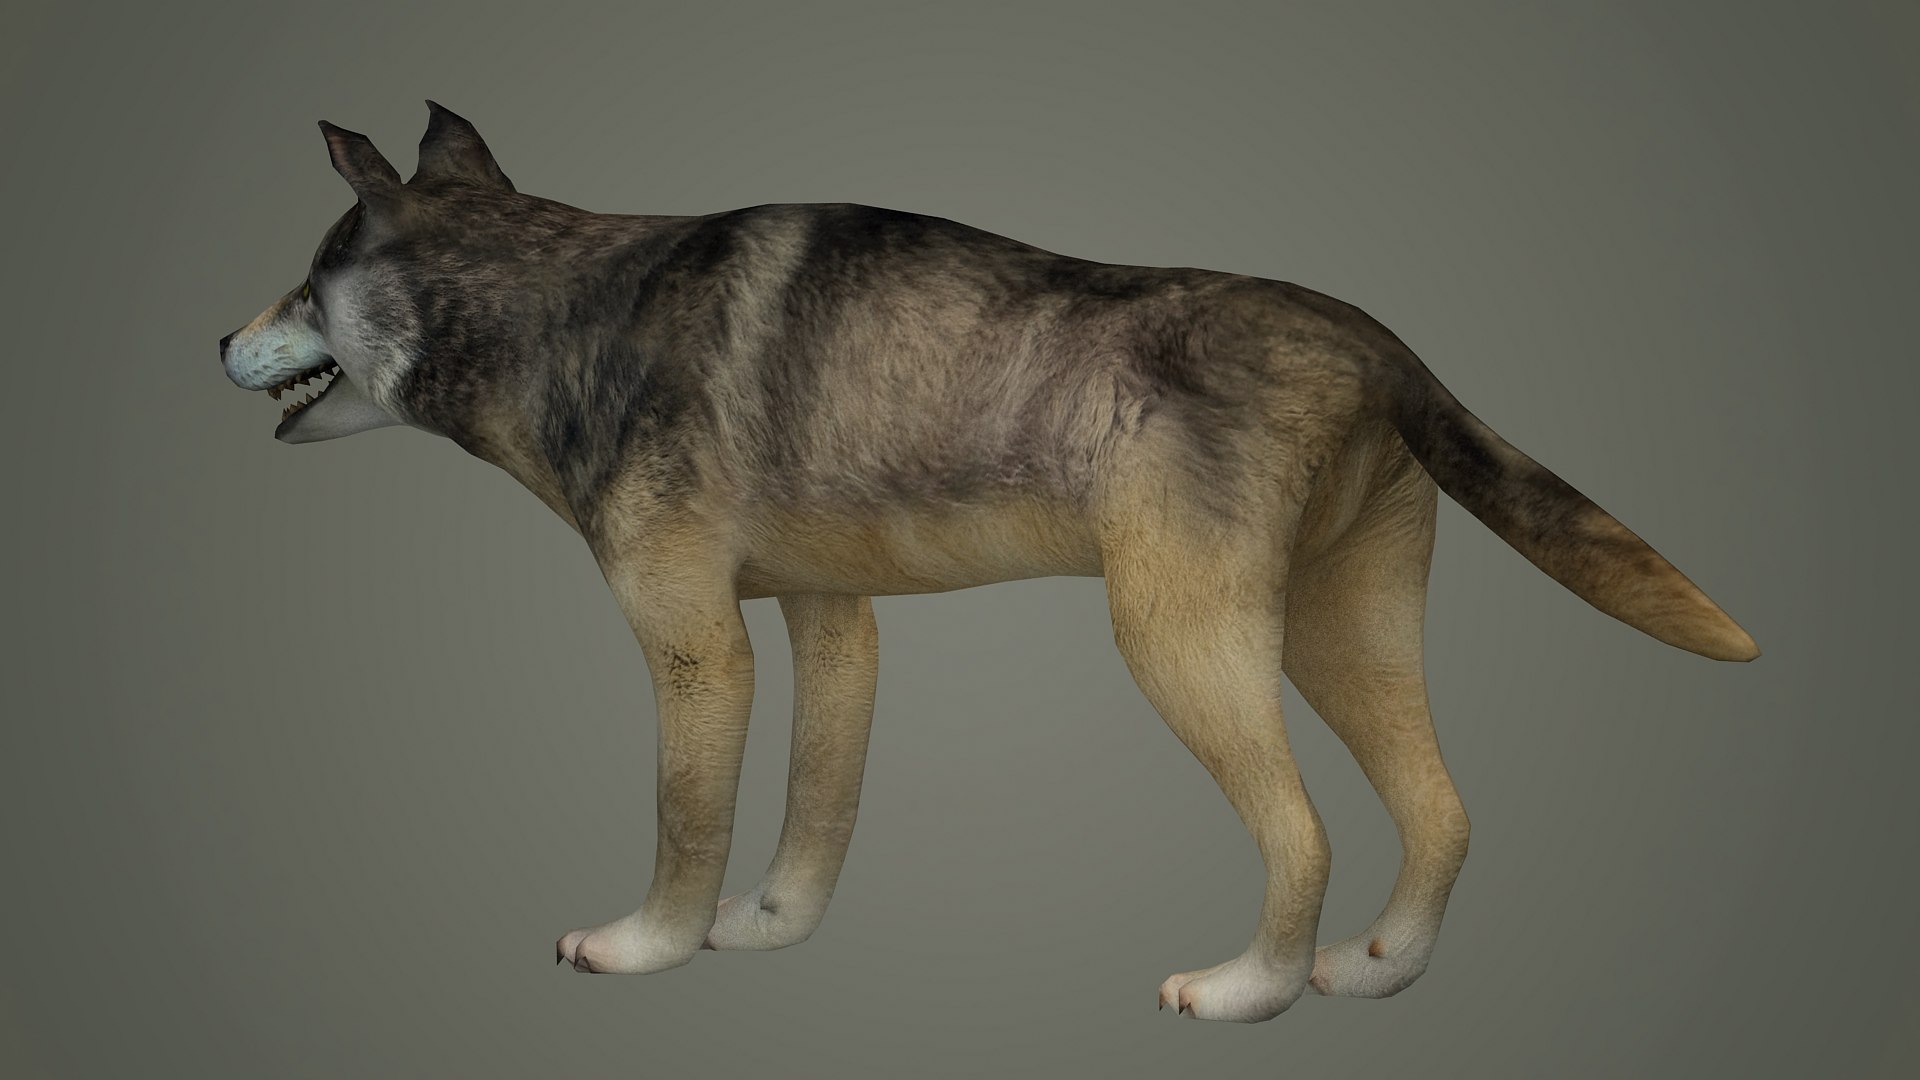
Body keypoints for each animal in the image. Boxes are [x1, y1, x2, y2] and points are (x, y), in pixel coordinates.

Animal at [217, 102, 1759, 1023]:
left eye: (303, 282)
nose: (216, 340)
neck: (560, 301)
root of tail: (1381, 340)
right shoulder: (832, 625)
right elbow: (814, 815)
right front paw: (767, 931)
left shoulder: (695, 648)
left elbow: (684, 827)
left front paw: (648, 948)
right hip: (1340, 640)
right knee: (1443, 811)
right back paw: (1378, 972)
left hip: (1181, 646)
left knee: (1306, 831)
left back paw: (1249, 990)